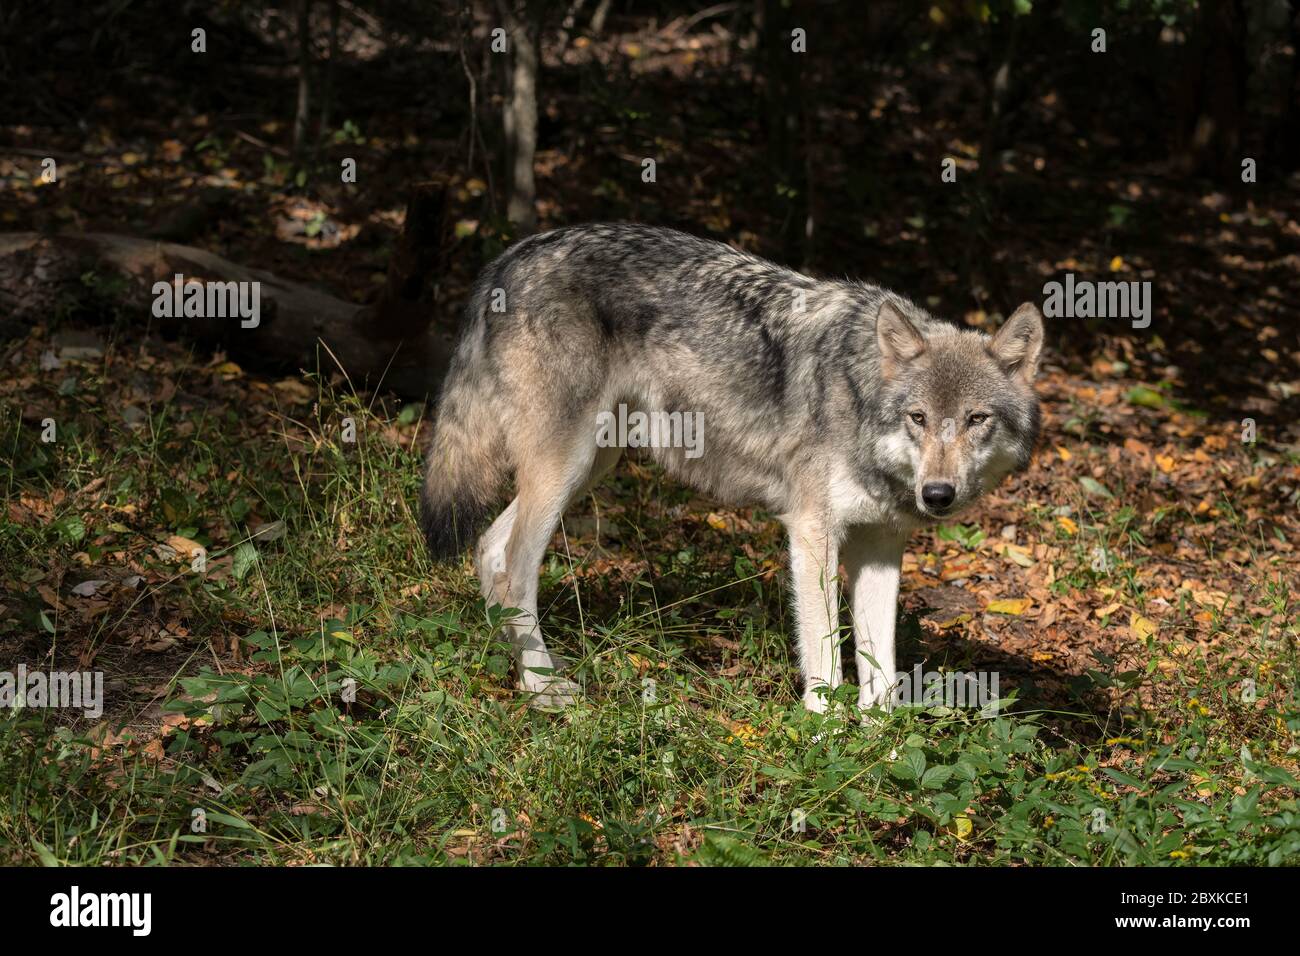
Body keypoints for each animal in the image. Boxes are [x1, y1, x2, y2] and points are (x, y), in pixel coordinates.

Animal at [420, 223, 1044, 713]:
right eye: (919, 417)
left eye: (977, 419)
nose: (937, 495)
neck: (858, 390)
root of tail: (513, 253)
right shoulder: (812, 533)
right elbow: (825, 656)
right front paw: (826, 738)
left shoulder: (881, 545)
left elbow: (883, 679)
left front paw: (882, 752)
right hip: (564, 468)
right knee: (513, 570)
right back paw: (542, 690)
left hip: (589, 465)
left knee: (489, 549)